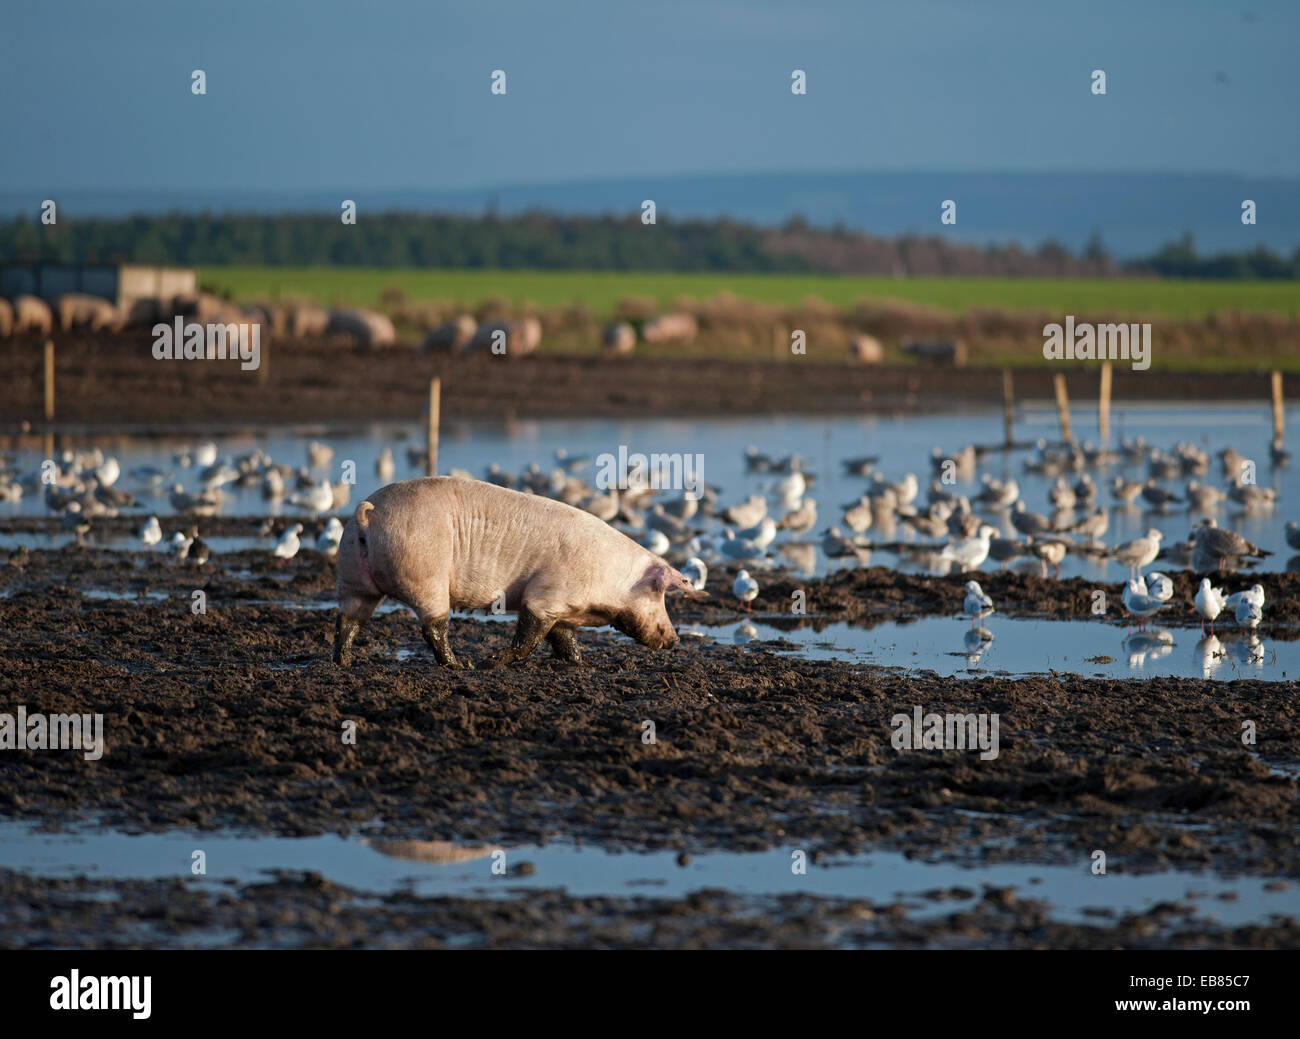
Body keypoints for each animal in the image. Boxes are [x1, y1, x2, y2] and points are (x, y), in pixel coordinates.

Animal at [333, 477, 699, 669]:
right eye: (658, 594)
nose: (674, 638)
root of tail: (369, 514)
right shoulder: (546, 595)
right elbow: (530, 636)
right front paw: (494, 660)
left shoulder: (563, 608)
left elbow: (563, 637)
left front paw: (580, 664)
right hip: (426, 576)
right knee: (433, 628)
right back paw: (460, 665)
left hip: (351, 572)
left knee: (348, 619)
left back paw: (344, 662)